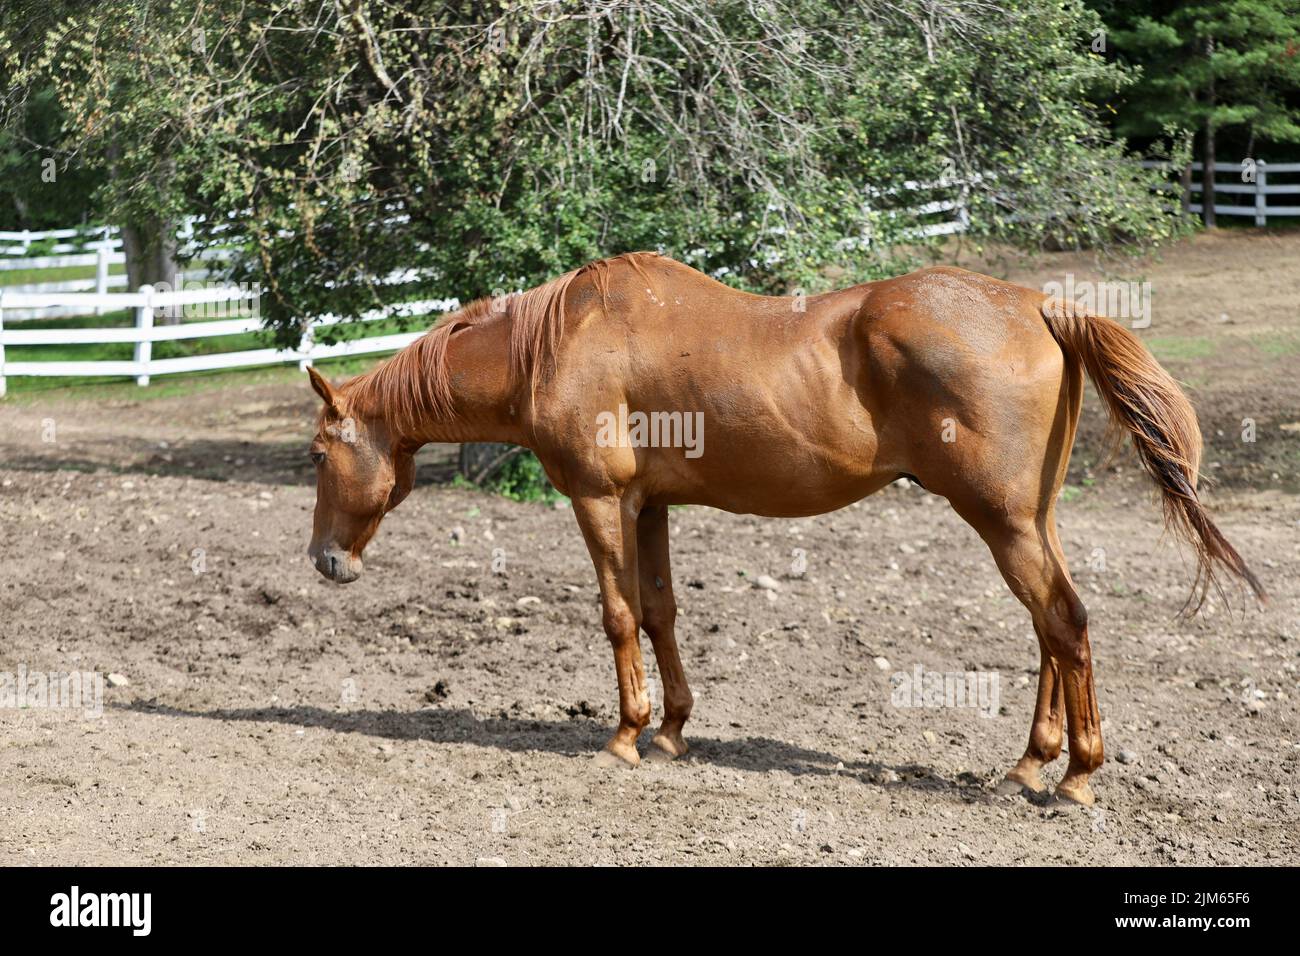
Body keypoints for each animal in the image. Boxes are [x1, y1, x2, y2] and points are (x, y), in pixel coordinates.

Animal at [304, 252, 1264, 806]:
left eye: (318, 453)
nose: (323, 561)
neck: (560, 342)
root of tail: (1037, 305)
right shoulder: (649, 506)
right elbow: (661, 614)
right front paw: (672, 731)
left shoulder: (599, 500)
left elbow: (618, 616)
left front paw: (623, 737)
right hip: (1030, 521)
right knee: (1049, 635)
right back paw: (1032, 764)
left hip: (1003, 522)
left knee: (1064, 624)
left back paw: (1075, 781)